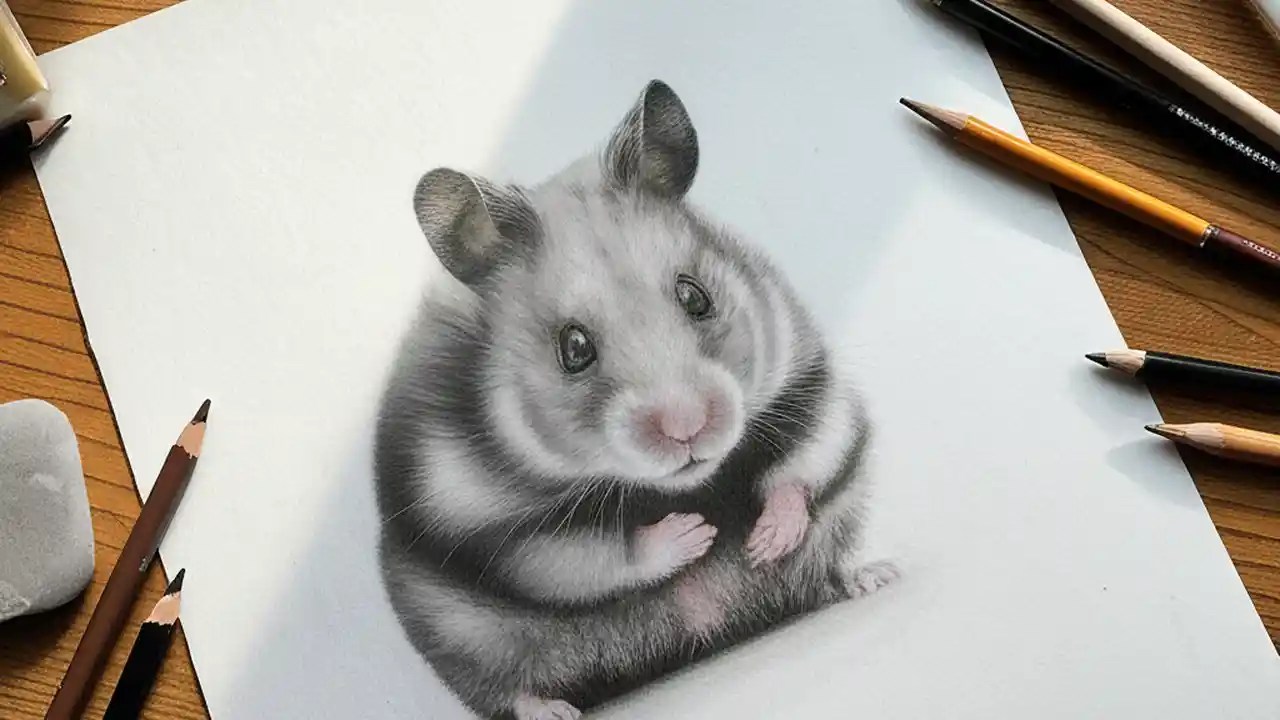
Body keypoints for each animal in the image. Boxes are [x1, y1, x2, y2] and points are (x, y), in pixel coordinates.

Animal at [374, 79, 896, 720]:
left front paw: (764, 541)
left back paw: (871, 577)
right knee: (505, 686)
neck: (692, 486)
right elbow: (589, 559)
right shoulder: (495, 531)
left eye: (695, 296)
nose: (689, 429)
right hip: (466, 637)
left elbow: (803, 467)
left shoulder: (811, 389)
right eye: (573, 348)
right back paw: (554, 711)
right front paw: (693, 535)